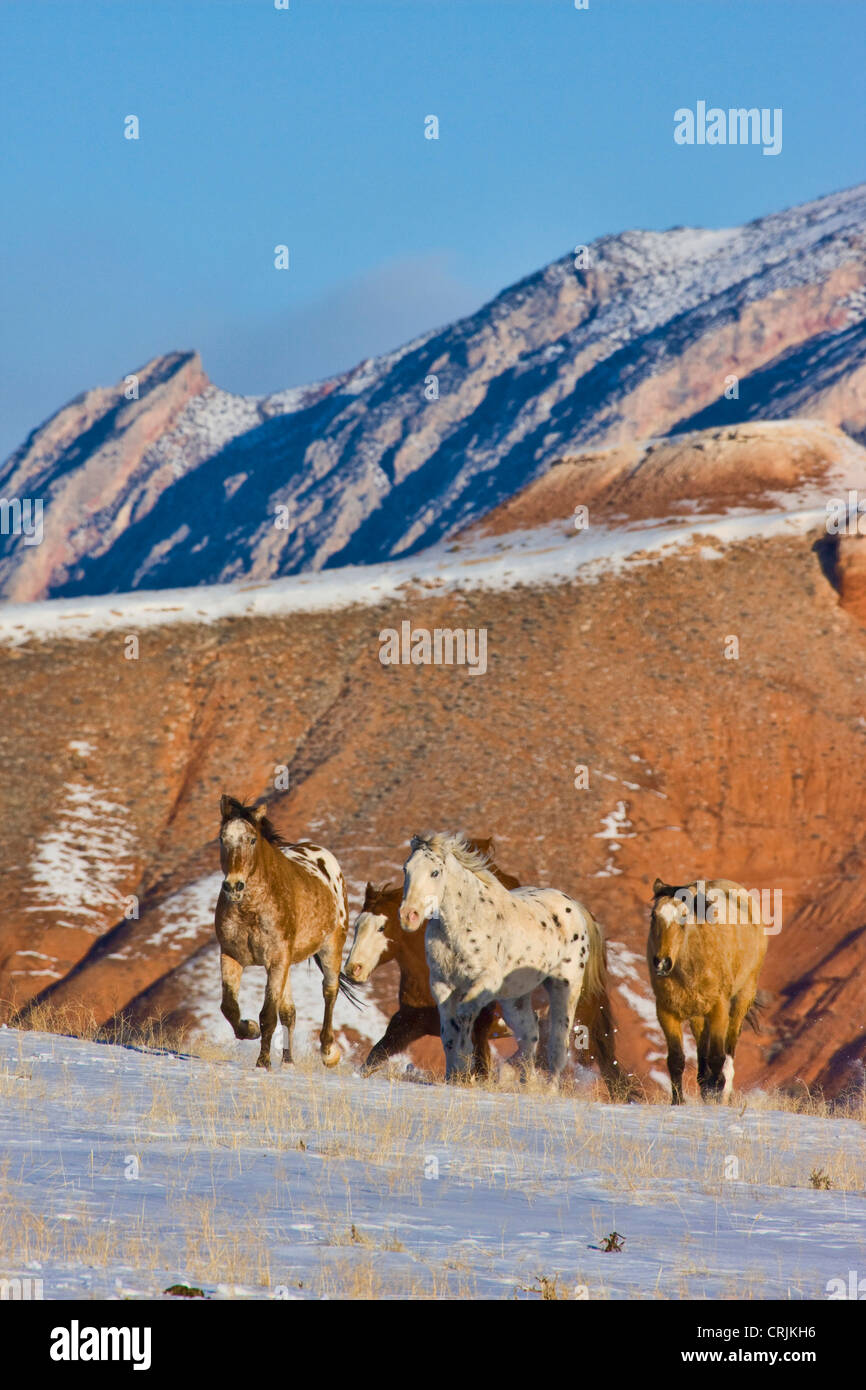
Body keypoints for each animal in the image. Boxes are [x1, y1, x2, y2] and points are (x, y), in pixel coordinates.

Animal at [214, 794, 356, 1070]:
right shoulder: (231, 956)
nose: (234, 886)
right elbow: (229, 1007)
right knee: (289, 1011)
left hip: (331, 948)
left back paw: (328, 1052)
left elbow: (268, 1014)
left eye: (252, 839)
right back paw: (288, 1061)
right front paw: (249, 1028)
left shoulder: (276, 960)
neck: (251, 909)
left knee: (329, 992)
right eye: (222, 839)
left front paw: (263, 1062)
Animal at [345, 838, 517, 1076]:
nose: (353, 969)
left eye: (382, 927)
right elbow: (374, 1057)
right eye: (357, 924)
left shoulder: (479, 1030)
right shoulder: (408, 1022)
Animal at [398, 831, 610, 1084]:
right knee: (530, 1035)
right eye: (406, 869)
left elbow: (464, 1016)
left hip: (565, 987)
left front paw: (465, 1069)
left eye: (435, 872)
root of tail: (574, 906)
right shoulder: (441, 985)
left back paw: (546, 1087)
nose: (408, 916)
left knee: (558, 1045)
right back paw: (521, 1080)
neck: (462, 926)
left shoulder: (484, 983)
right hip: (515, 998)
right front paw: (453, 1076)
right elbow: (448, 1035)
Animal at [648, 877, 769, 1104]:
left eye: (683, 916)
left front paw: (716, 1091)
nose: (661, 962)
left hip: (742, 997)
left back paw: (722, 1090)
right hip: (697, 1013)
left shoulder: (719, 1008)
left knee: (729, 1049)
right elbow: (676, 1059)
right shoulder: (666, 1011)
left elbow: (717, 1056)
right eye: (653, 916)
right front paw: (678, 1102)